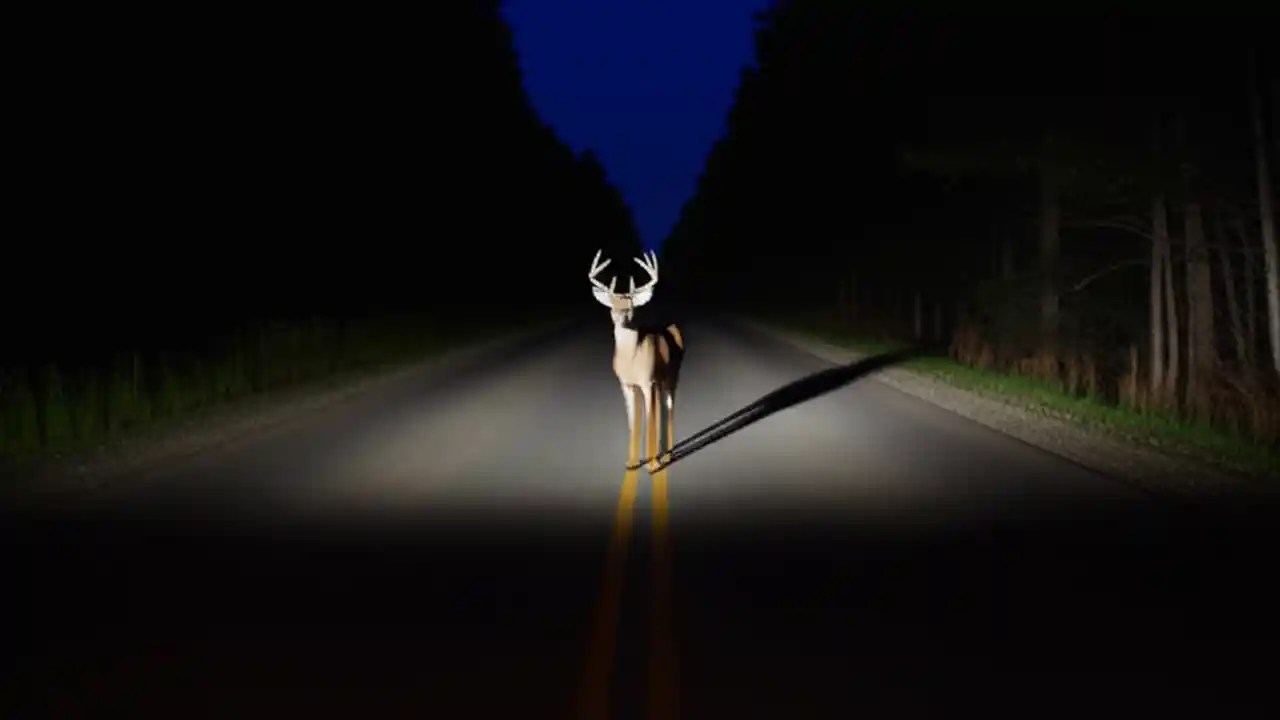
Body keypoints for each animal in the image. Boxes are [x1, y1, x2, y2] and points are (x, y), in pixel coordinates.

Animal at [589, 249, 685, 473]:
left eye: (631, 306)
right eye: (612, 305)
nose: (621, 316)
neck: (631, 359)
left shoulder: (647, 382)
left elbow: (649, 419)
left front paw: (653, 464)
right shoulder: (627, 384)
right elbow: (633, 420)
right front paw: (632, 463)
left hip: (672, 376)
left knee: (669, 407)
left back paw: (667, 456)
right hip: (658, 382)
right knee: (661, 410)